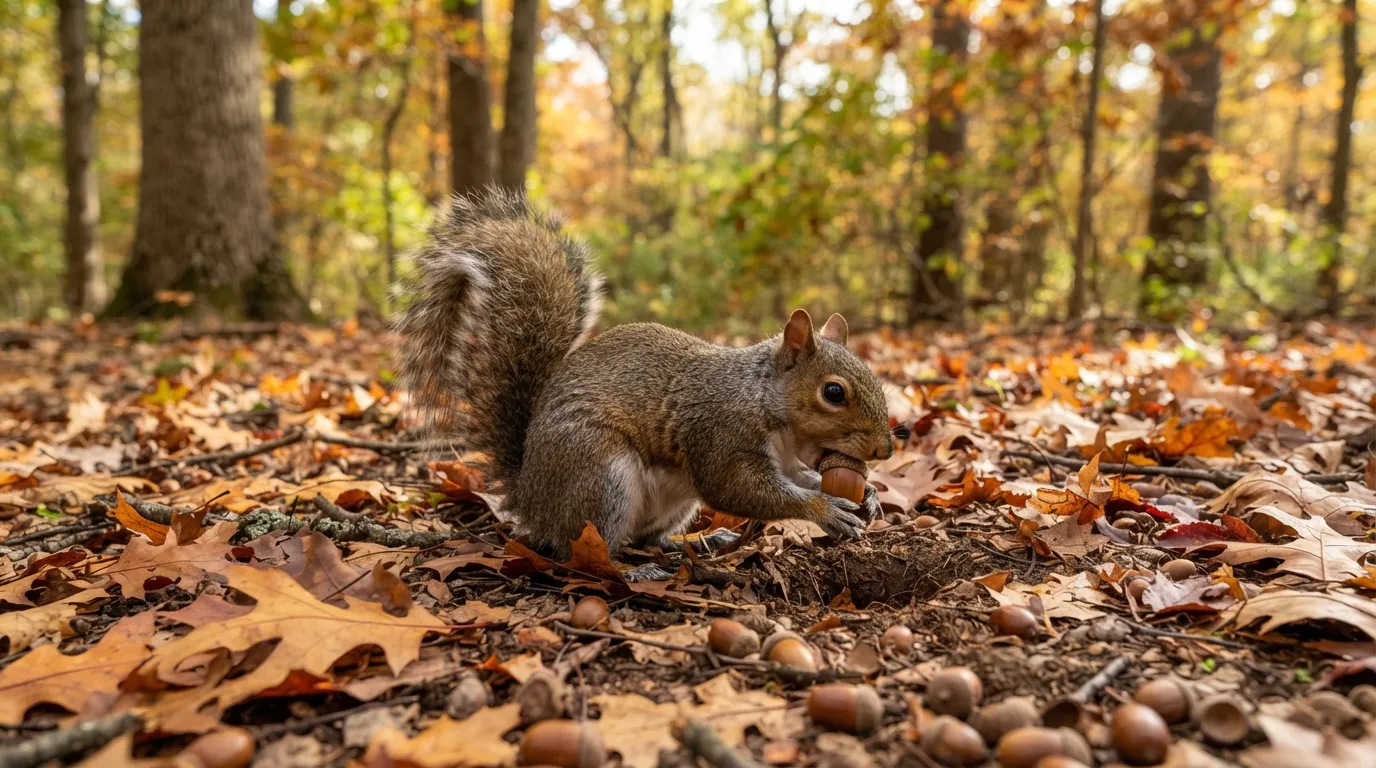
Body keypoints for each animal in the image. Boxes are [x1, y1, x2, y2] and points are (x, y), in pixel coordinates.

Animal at [396, 188, 894, 562]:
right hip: (600, 475)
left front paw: (868, 494)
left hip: (674, 501)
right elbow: (740, 489)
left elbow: (798, 477)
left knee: (646, 538)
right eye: (834, 392)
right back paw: (631, 569)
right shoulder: (721, 434)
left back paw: (695, 542)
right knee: (591, 549)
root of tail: (531, 497)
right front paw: (825, 508)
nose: (885, 449)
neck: (762, 398)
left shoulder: (787, 460)